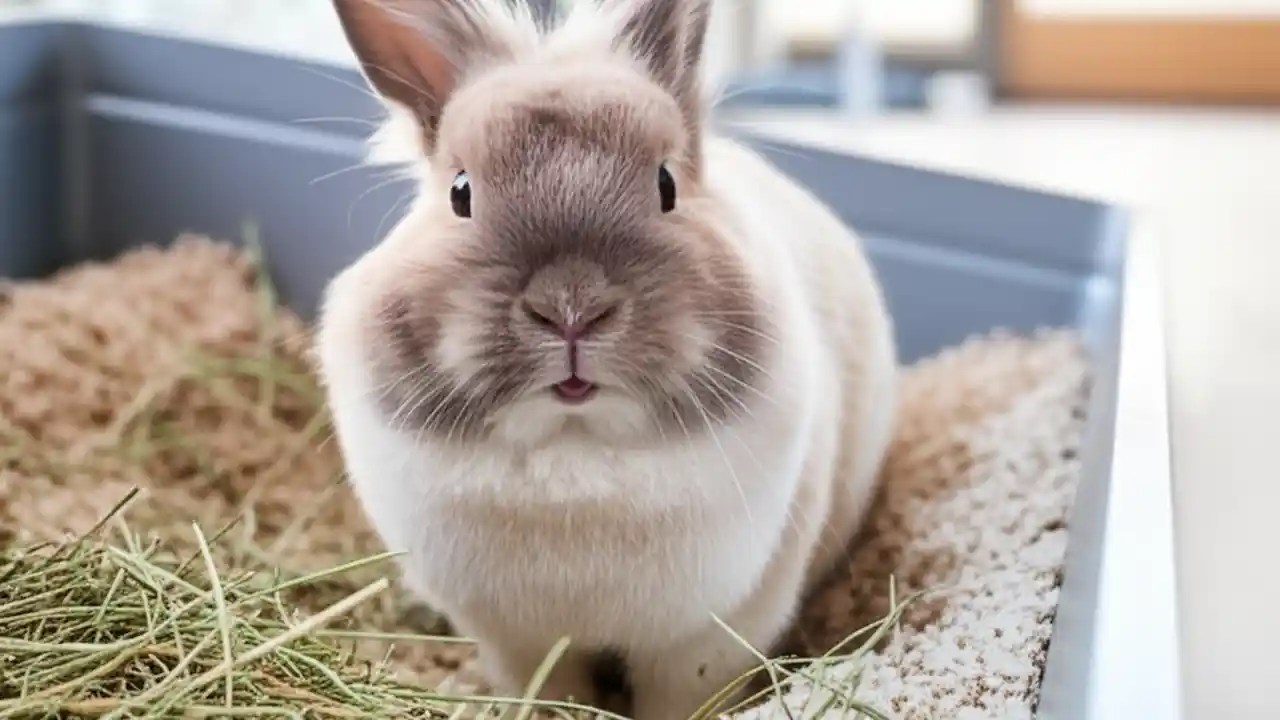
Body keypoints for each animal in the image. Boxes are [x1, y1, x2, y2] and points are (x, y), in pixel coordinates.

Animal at [316, 0, 898, 717]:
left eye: (666, 184)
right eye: (460, 192)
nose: (571, 309)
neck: (575, 449)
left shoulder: (706, 641)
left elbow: (680, 699)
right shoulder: (518, 643)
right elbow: (548, 691)